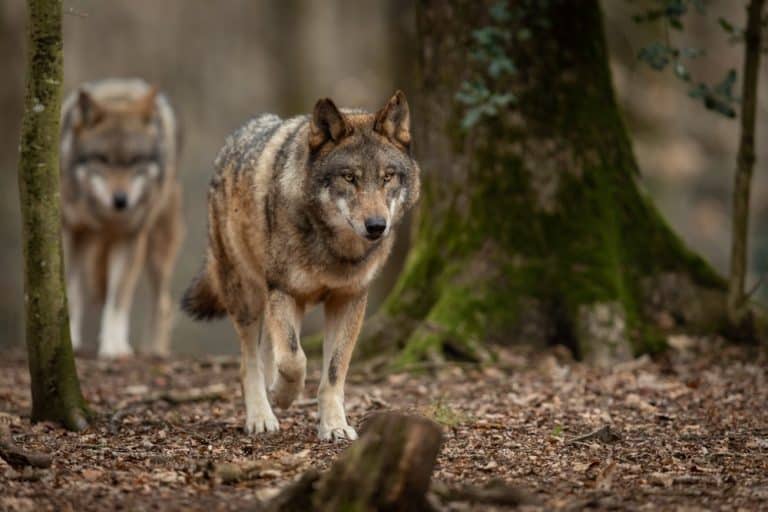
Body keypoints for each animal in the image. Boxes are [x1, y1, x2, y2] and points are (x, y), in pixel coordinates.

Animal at [60, 78, 185, 358]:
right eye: (103, 159)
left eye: (135, 160)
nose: (120, 200)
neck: (107, 219)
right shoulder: (69, 233)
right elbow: (70, 295)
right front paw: (69, 341)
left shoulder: (130, 239)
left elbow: (117, 301)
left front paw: (114, 348)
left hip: (157, 252)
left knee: (163, 304)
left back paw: (154, 351)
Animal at [181, 91, 420, 440]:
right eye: (349, 178)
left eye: (387, 177)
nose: (377, 226)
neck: (335, 251)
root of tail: (233, 139)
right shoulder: (284, 291)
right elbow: (295, 359)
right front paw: (283, 395)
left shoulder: (349, 298)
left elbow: (334, 371)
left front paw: (334, 426)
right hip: (247, 297)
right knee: (249, 362)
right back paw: (261, 416)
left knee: (267, 350)